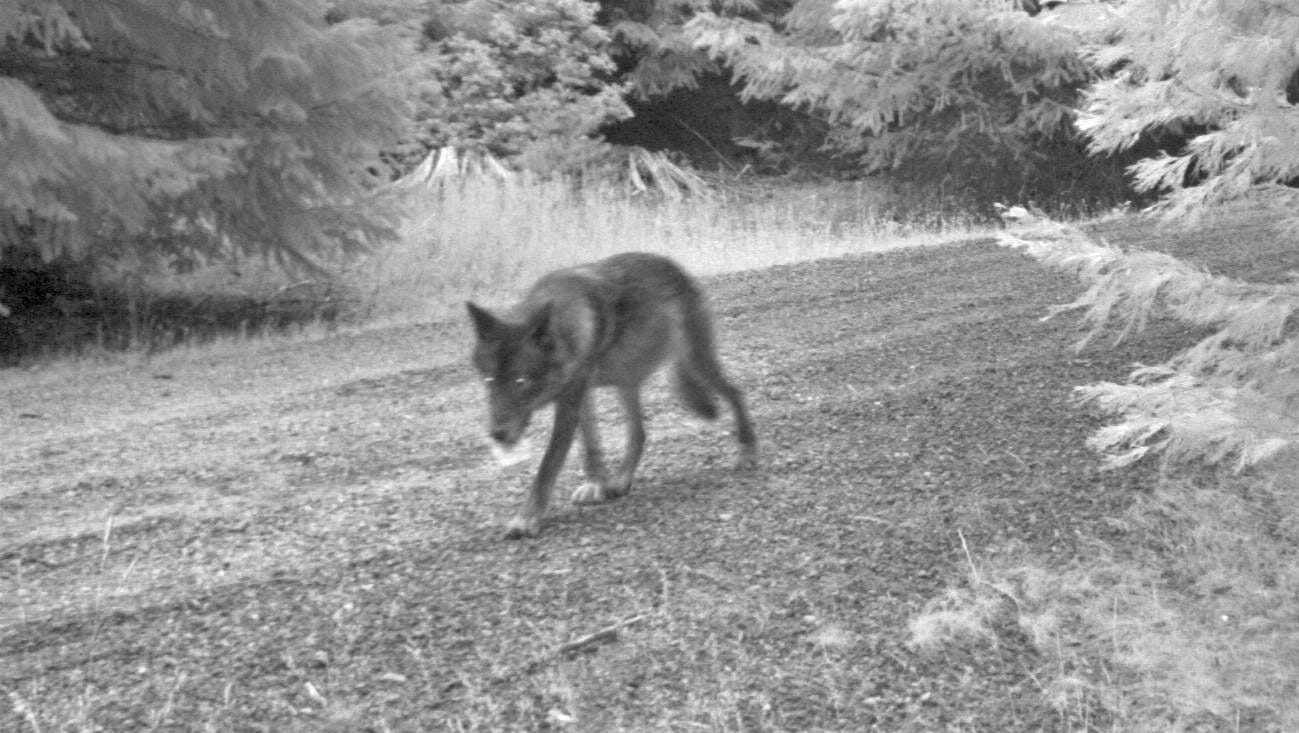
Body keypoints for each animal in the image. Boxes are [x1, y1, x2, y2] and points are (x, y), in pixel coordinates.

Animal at [466, 252, 757, 539]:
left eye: (521, 381)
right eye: (489, 380)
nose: (497, 434)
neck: (564, 325)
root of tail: (677, 268)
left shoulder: (570, 402)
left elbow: (547, 466)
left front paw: (525, 519)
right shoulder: (581, 396)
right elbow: (590, 447)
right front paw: (597, 484)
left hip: (697, 365)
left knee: (736, 393)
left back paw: (747, 451)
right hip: (626, 383)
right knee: (640, 434)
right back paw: (621, 481)